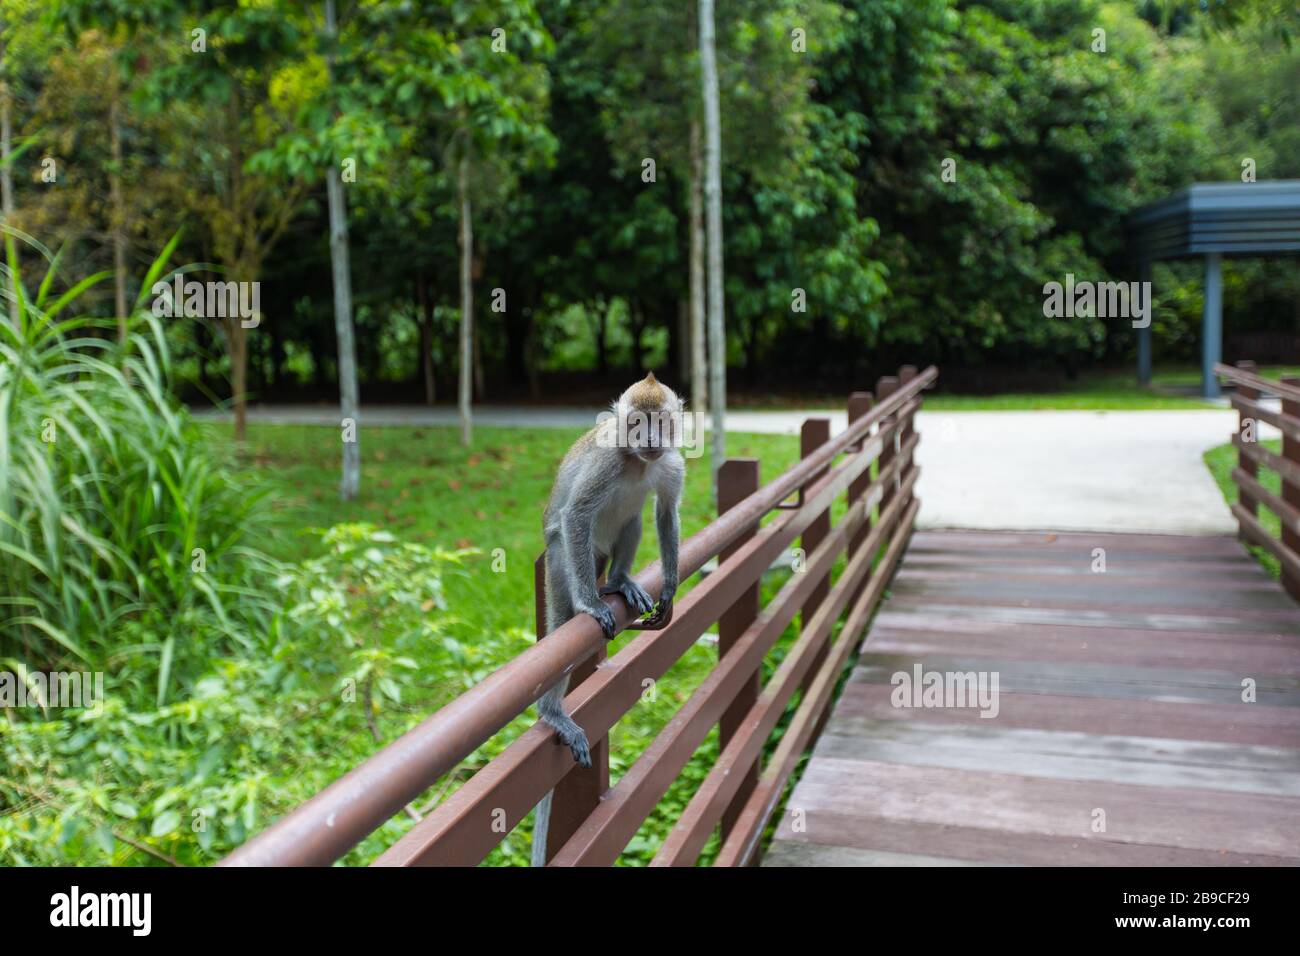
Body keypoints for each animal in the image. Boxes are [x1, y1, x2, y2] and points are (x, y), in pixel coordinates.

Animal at [530, 372, 684, 866]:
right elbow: (576, 512)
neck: (635, 462)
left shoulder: (671, 464)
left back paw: (617, 581)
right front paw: (589, 606)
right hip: (562, 560)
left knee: (633, 519)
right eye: (636, 423)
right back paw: (552, 711)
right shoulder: (604, 464)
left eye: (659, 422)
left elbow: (665, 512)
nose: (650, 439)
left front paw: (670, 587)